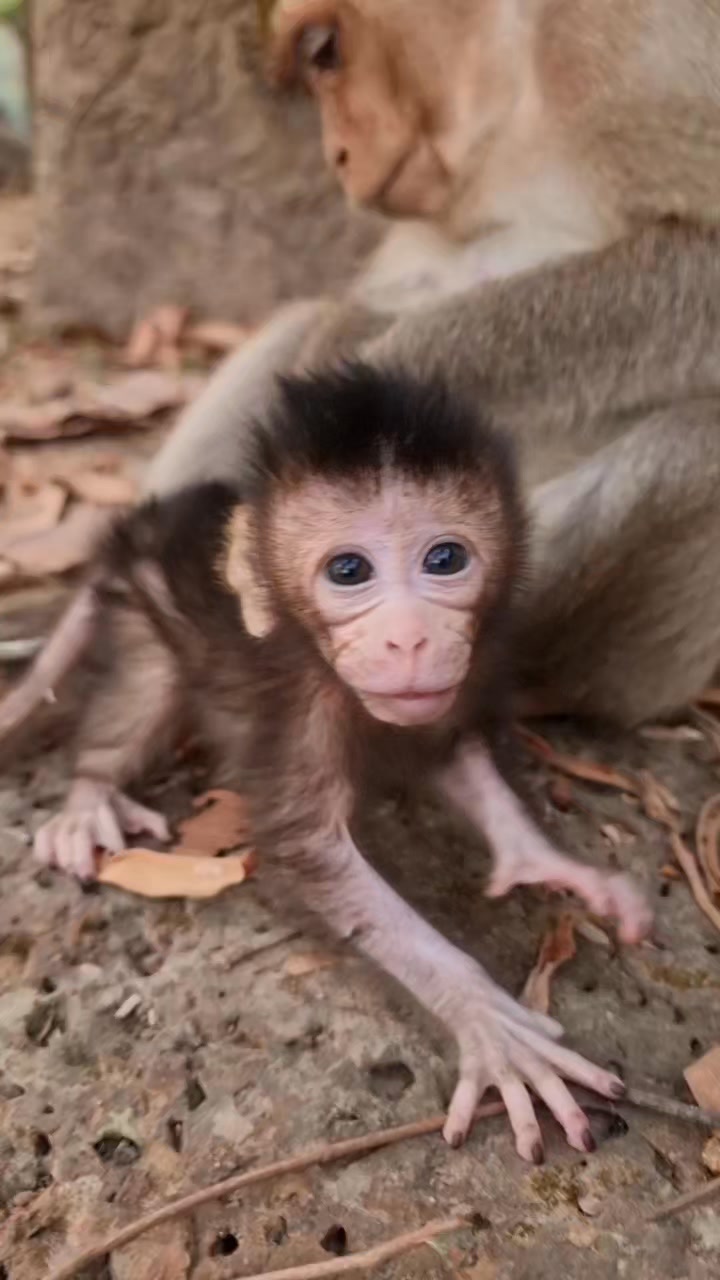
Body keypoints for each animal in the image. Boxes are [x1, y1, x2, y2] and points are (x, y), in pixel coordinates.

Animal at [27, 362, 651, 1163]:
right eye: (349, 570)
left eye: (445, 560)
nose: (410, 639)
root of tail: (144, 525)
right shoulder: (302, 708)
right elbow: (313, 851)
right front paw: (484, 1014)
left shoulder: (449, 687)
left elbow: (458, 758)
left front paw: (544, 862)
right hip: (147, 607)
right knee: (146, 686)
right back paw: (89, 797)